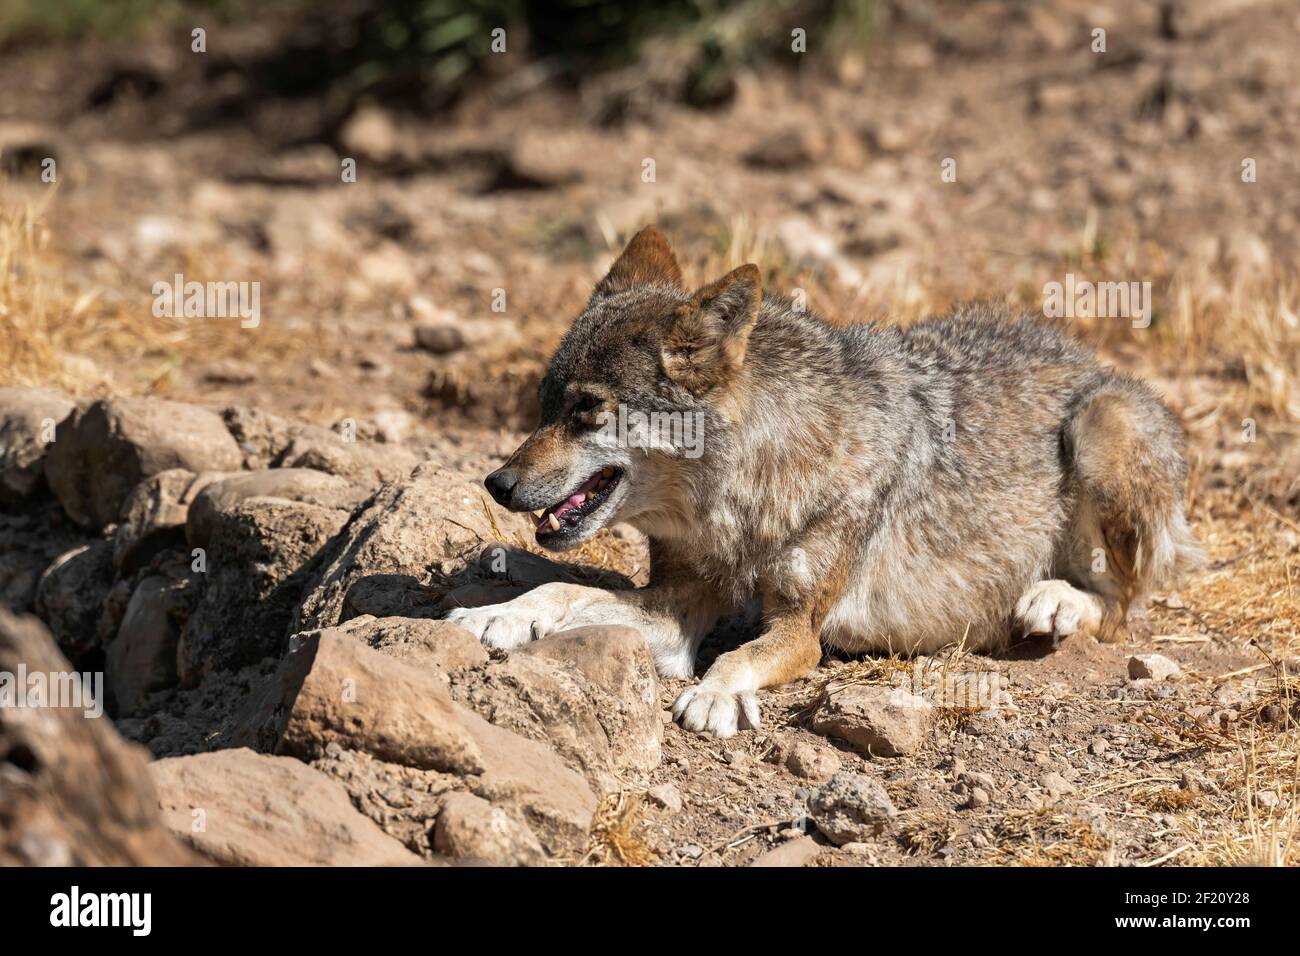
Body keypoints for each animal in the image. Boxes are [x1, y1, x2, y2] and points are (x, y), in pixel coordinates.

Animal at [446, 227, 1202, 738]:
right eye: (543, 405)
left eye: (587, 409)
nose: (497, 484)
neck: (744, 496)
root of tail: (1084, 353)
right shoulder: (678, 604)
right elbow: (563, 590)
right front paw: (497, 614)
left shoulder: (800, 629)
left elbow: (741, 654)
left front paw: (716, 695)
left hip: (1102, 425)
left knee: (1122, 606)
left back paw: (1054, 600)